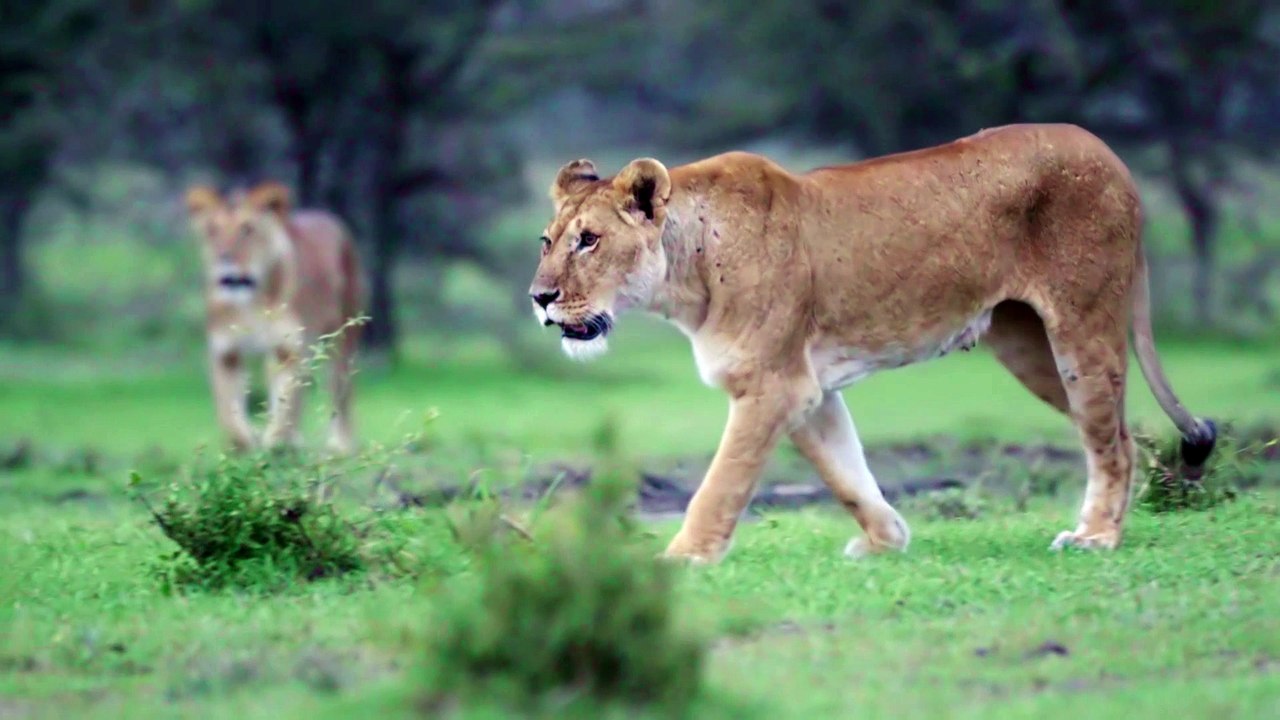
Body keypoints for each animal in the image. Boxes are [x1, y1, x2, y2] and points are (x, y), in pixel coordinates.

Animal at [185, 181, 366, 454]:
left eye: (247, 229)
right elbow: (229, 412)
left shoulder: (288, 350)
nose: (223, 258)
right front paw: (246, 443)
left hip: (341, 338)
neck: (249, 302)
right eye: (212, 230)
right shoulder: (225, 354)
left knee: (341, 391)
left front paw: (274, 443)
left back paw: (340, 445)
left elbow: (285, 405)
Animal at [528, 123, 1217, 563]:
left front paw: (681, 558)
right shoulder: (807, 390)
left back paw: (1097, 538)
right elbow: (847, 473)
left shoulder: (773, 386)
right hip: (1026, 344)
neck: (686, 271)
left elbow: (720, 484)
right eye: (548, 241)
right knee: (1122, 429)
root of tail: (1110, 154)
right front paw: (888, 540)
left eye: (589, 241)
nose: (540, 297)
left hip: (1082, 320)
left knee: (1111, 437)